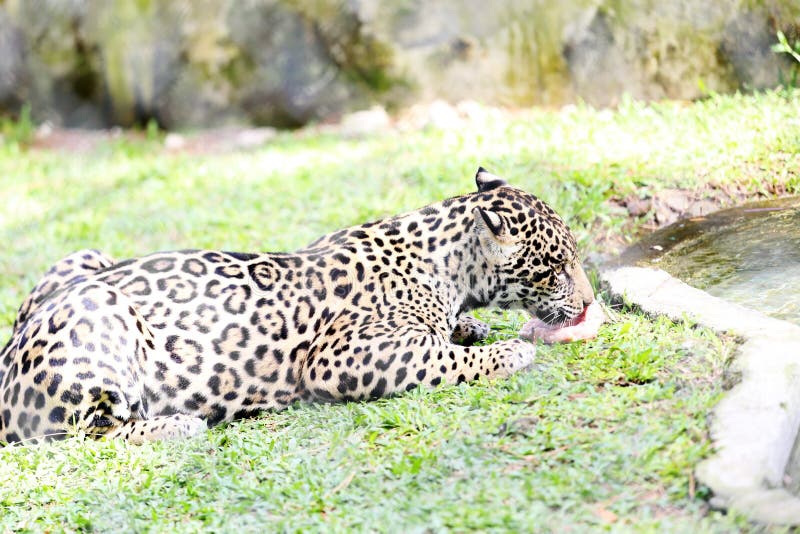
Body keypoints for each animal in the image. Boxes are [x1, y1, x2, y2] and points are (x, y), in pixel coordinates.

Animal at [0, 168, 594, 445]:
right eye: (557, 266)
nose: (590, 302)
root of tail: (8, 360)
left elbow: (451, 334)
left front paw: (470, 326)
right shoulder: (341, 356)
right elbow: (440, 356)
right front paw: (507, 353)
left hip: (85, 259)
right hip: (99, 313)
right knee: (87, 431)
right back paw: (177, 425)